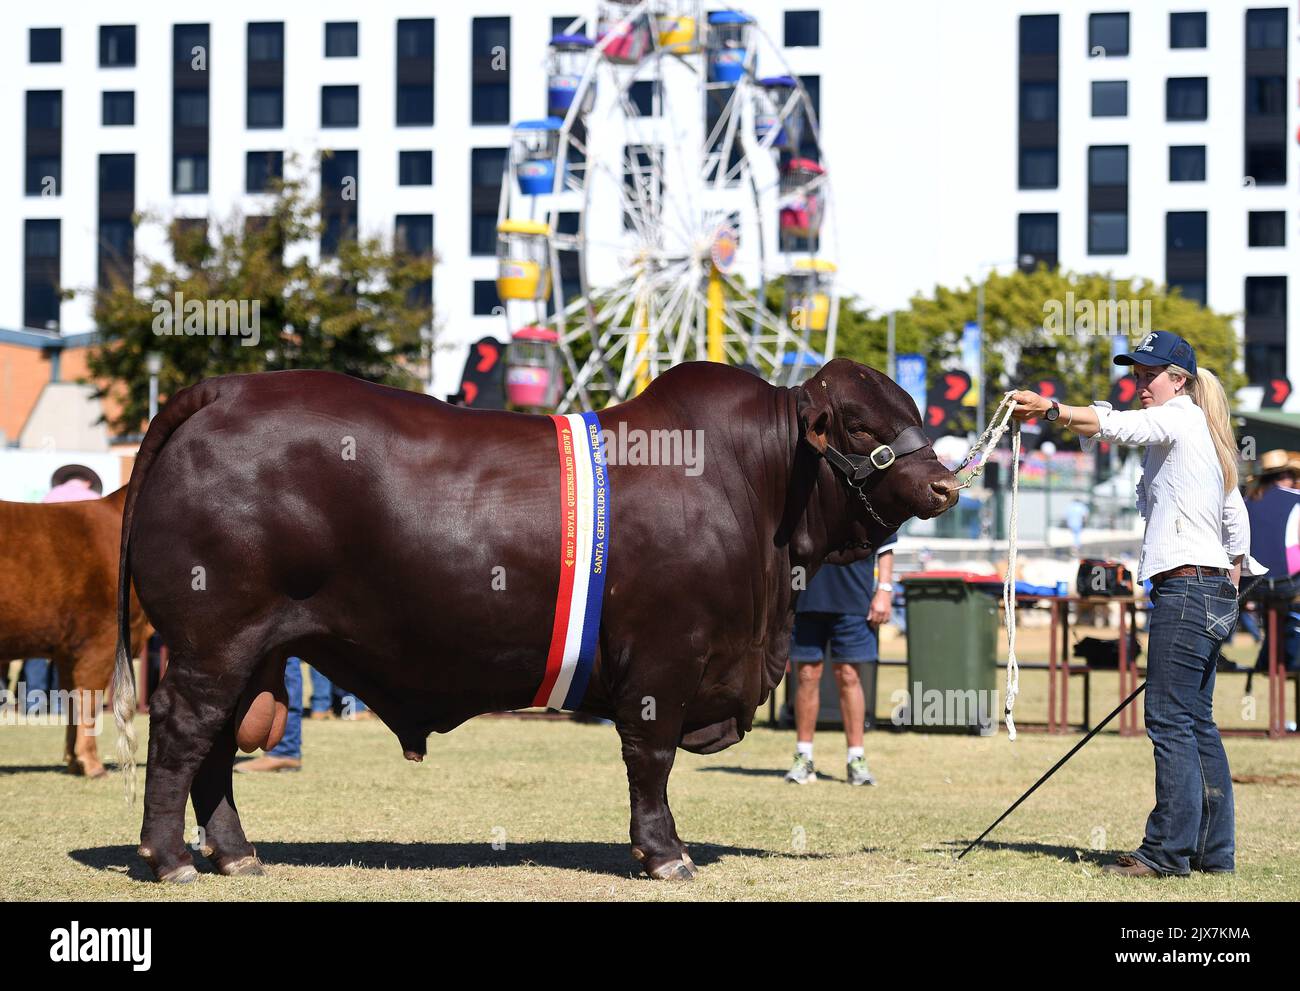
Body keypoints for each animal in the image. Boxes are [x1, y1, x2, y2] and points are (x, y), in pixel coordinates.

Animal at [1, 487, 152, 777]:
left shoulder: (67, 653)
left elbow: (72, 701)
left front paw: (73, 761)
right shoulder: (100, 639)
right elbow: (89, 701)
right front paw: (92, 764)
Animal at [112, 358, 958, 882]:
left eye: (912, 411)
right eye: (857, 425)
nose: (948, 484)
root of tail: (224, 390)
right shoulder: (665, 660)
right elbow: (651, 759)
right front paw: (665, 852)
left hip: (250, 650)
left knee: (217, 747)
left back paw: (236, 854)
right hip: (212, 640)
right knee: (183, 731)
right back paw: (168, 857)